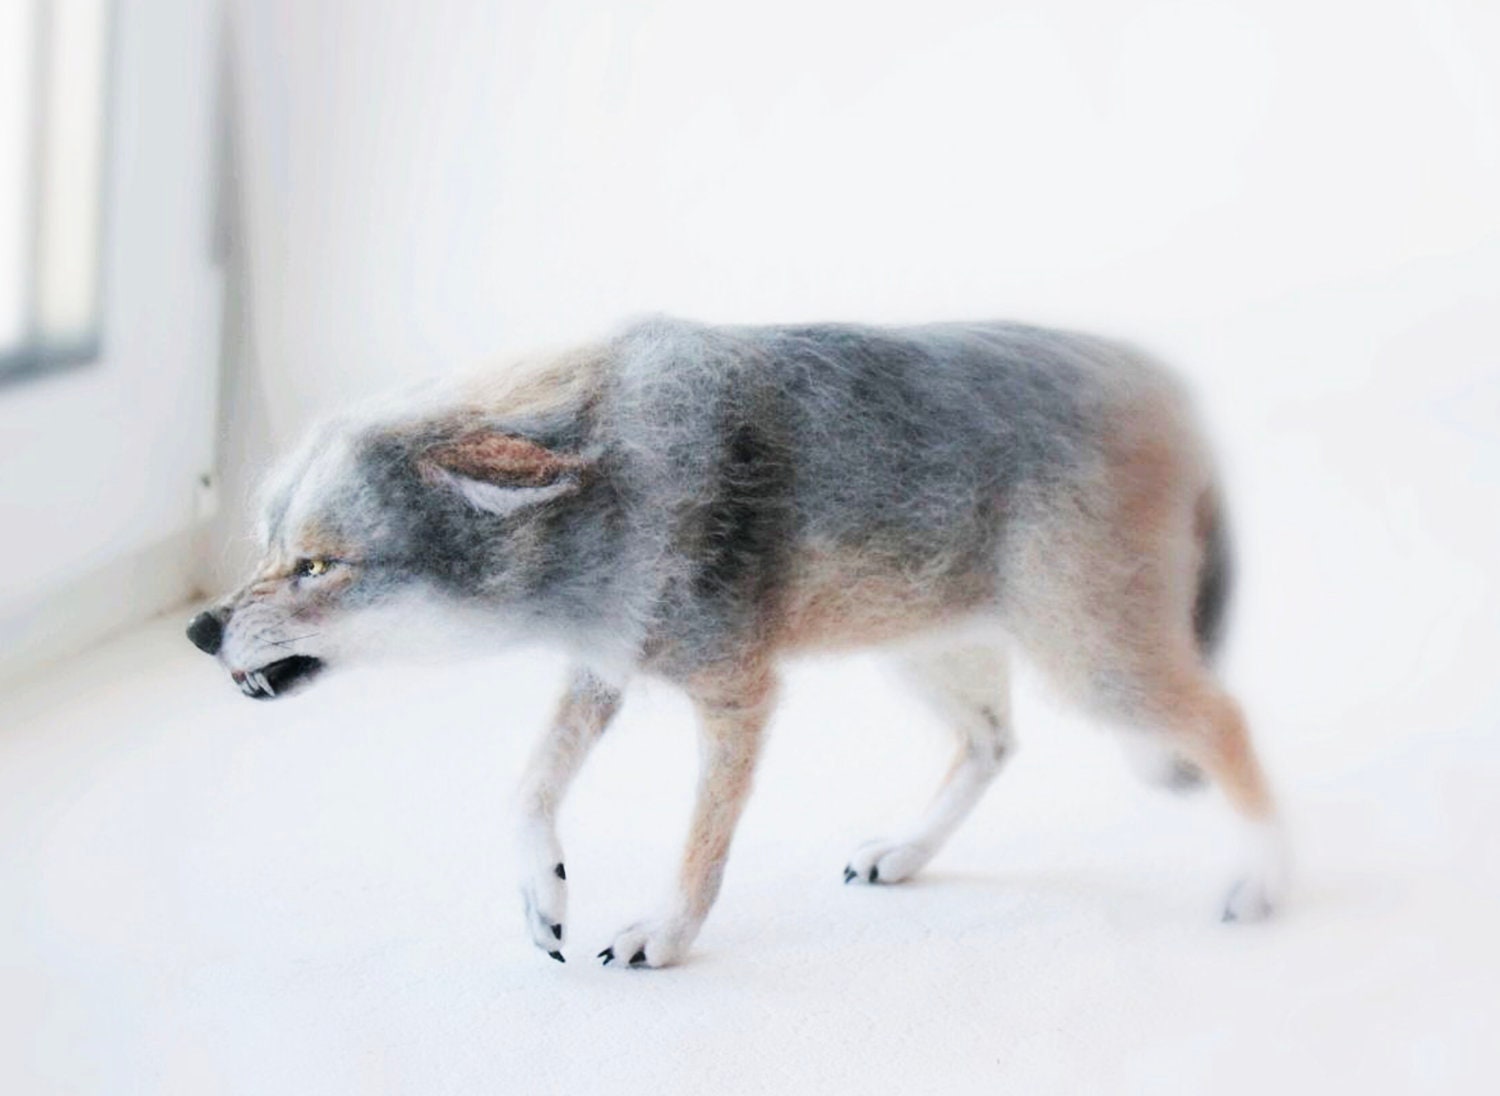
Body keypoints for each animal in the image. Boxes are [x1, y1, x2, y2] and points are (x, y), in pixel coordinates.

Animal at [186, 316, 1285, 968]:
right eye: (270, 546)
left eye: (318, 566)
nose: (199, 629)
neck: (622, 486)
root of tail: (1169, 384)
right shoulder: (601, 667)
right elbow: (527, 789)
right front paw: (542, 892)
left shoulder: (738, 697)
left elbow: (700, 848)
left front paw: (665, 937)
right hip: (925, 642)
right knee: (993, 742)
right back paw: (905, 852)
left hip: (1092, 661)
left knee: (1226, 721)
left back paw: (1264, 878)